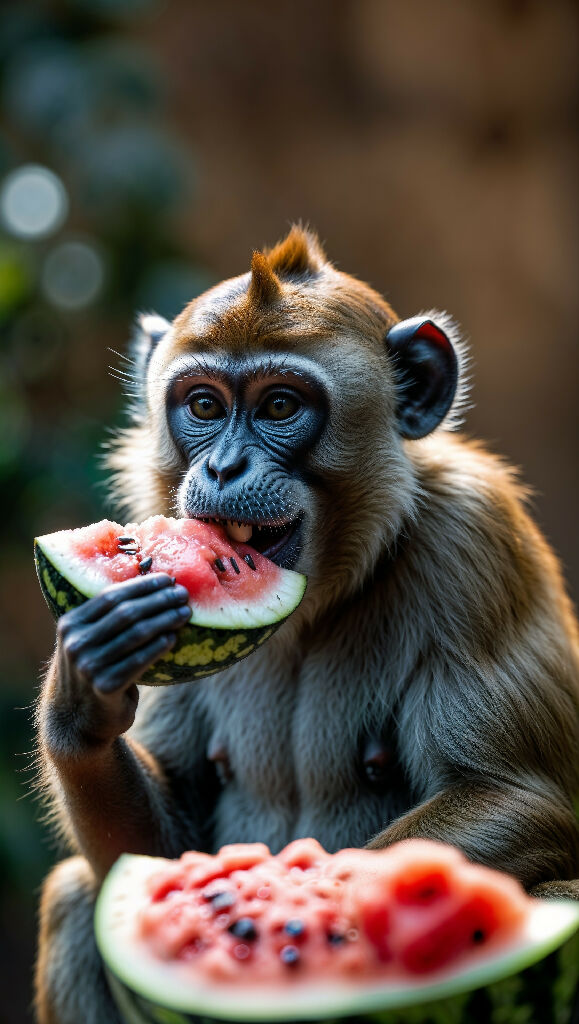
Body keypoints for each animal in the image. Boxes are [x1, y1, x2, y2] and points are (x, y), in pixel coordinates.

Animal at [34, 227, 579, 1023]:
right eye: (203, 405)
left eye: (280, 405)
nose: (223, 467)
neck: (321, 593)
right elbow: (153, 850)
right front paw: (83, 701)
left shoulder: (475, 534)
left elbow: (512, 795)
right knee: (78, 894)